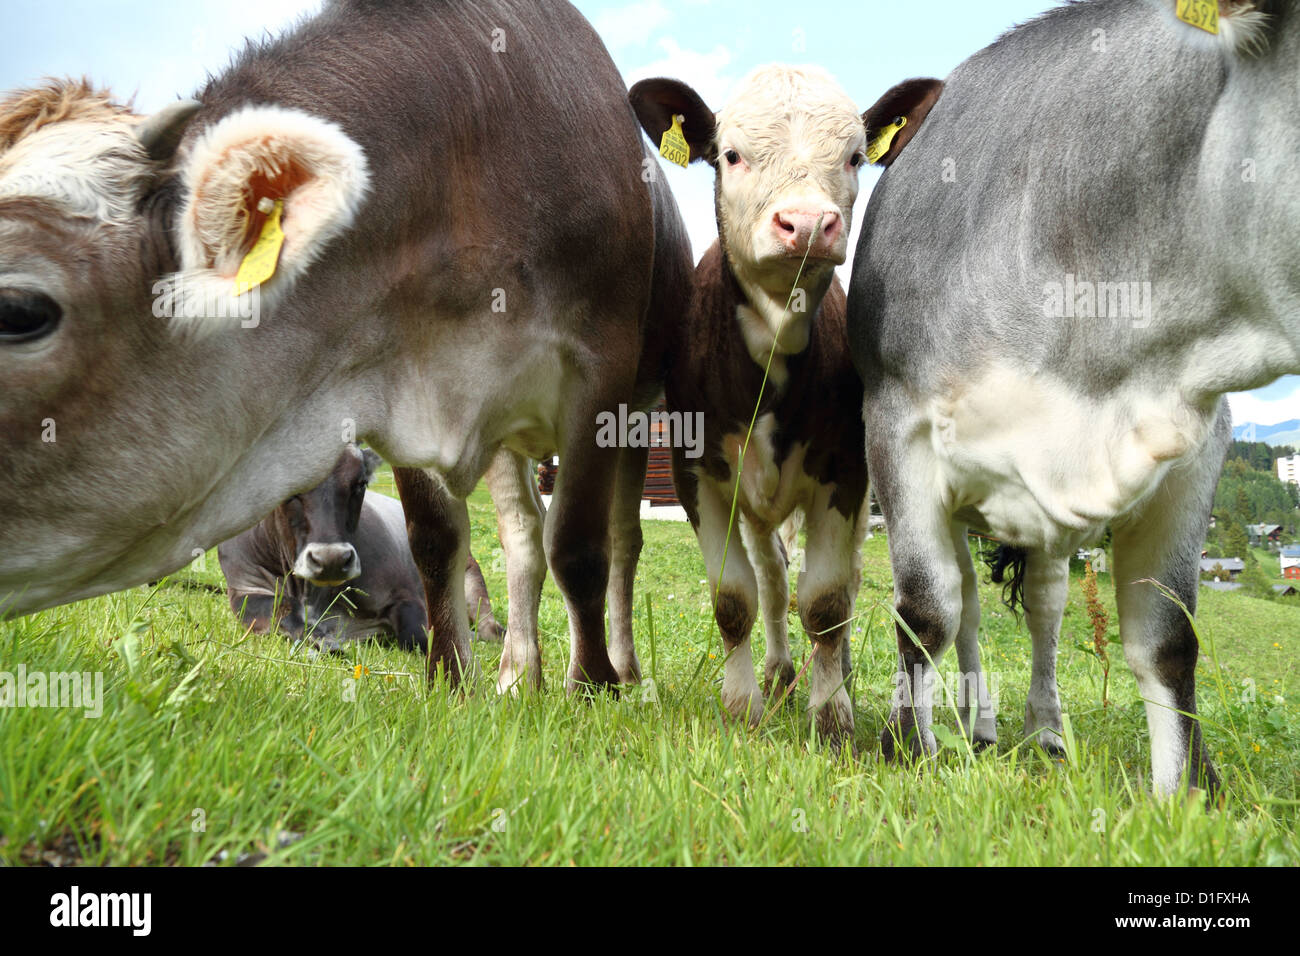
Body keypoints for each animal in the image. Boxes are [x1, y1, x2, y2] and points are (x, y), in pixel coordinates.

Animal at [217, 443, 503, 652]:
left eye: (360, 483)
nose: (331, 559)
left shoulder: (405, 593)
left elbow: (418, 635)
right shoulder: (245, 590)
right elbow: (283, 609)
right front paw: (321, 638)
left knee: (487, 623)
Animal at [630, 65, 893, 747]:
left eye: (855, 157)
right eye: (731, 154)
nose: (806, 223)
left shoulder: (845, 473)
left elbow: (826, 601)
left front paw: (832, 715)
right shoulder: (698, 475)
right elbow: (736, 598)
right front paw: (741, 703)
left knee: (836, 584)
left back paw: (836, 672)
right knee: (773, 580)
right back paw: (776, 673)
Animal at [847, 0, 1300, 795]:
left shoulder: (1196, 446)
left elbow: (1167, 636)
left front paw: (1185, 791)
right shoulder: (896, 424)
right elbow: (926, 609)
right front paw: (906, 747)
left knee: (1044, 609)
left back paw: (1046, 733)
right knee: (967, 604)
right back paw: (977, 725)